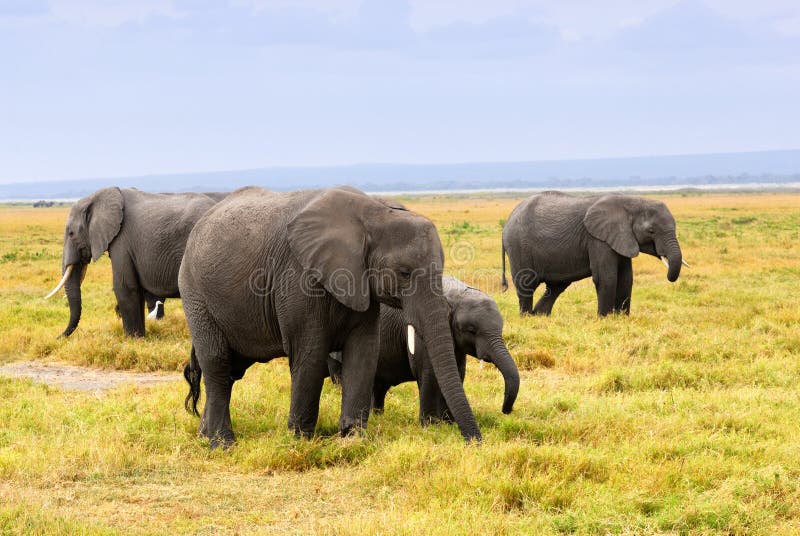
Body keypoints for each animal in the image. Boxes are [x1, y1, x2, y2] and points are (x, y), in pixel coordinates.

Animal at [45, 188, 225, 337]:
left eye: (71, 233)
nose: (58, 337)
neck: (96, 197)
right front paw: (139, 338)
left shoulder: (122, 240)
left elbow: (125, 286)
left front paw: (132, 339)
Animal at [179, 186, 482, 448]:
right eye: (404, 273)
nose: (474, 443)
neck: (374, 213)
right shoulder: (299, 277)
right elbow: (310, 353)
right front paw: (300, 441)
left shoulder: (362, 283)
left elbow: (363, 351)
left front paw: (352, 439)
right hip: (196, 295)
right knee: (217, 365)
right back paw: (223, 445)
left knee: (231, 371)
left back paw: (204, 436)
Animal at [327, 275, 519, 421]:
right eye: (471, 330)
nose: (506, 410)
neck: (455, 295)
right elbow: (430, 372)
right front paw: (431, 426)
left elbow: (457, 372)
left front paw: (449, 423)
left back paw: (378, 416)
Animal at [501, 191, 687, 316]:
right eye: (651, 231)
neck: (632, 202)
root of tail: (507, 222)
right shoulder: (597, 239)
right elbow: (607, 278)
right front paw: (604, 319)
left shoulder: (621, 238)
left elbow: (626, 279)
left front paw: (622, 319)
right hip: (518, 246)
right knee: (526, 284)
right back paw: (527, 317)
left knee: (555, 287)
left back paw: (539, 316)